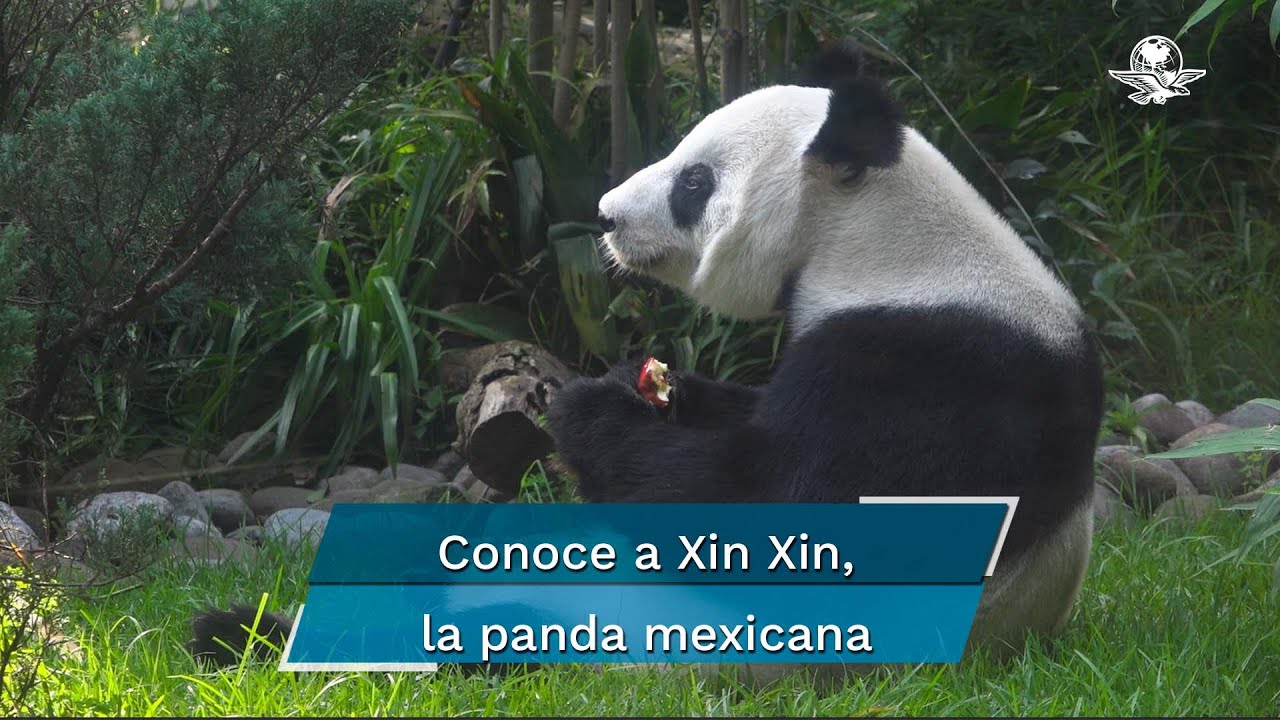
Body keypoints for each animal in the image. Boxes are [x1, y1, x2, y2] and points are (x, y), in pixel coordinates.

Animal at [545, 41, 1104, 679]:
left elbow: (767, 512)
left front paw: (586, 408)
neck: (881, 246)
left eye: (694, 181)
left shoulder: (930, 377)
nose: (608, 216)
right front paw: (654, 387)